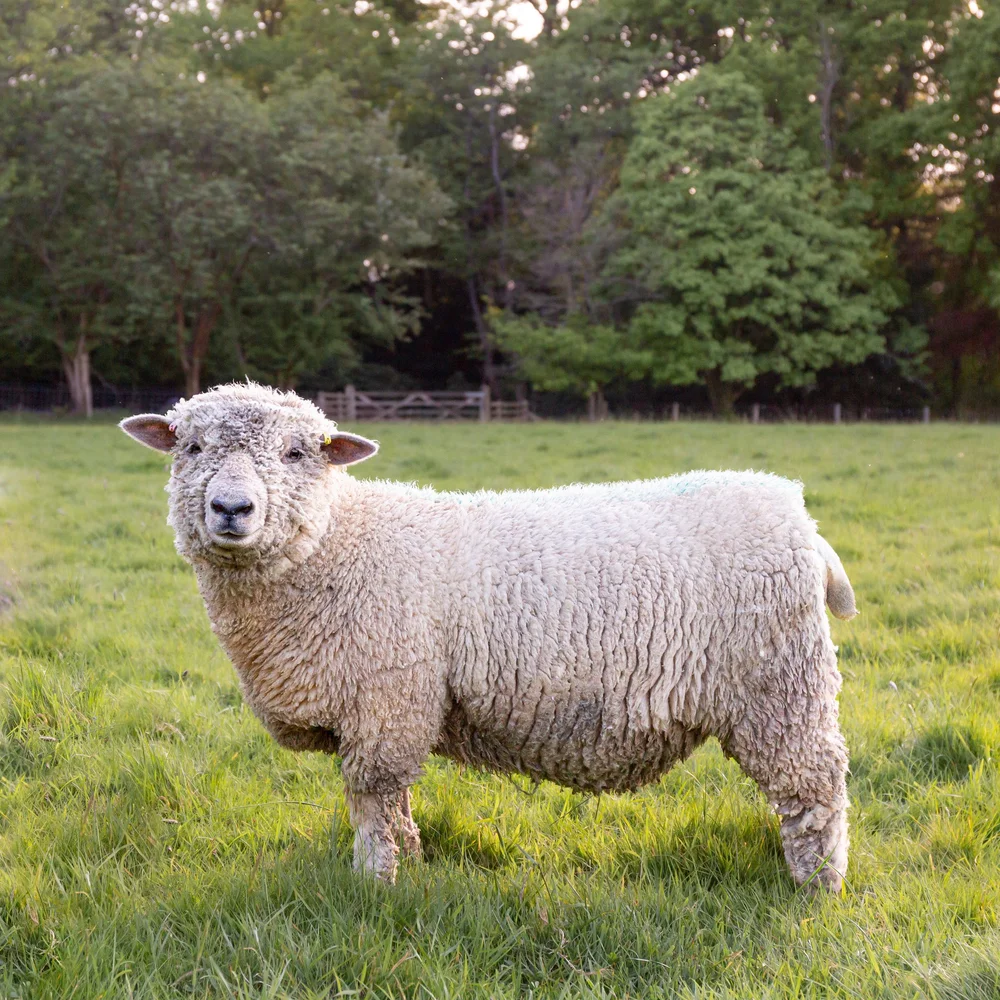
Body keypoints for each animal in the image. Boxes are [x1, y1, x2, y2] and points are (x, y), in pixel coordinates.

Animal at [121, 382, 857, 890]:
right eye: (190, 446)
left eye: (297, 452)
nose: (231, 508)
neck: (335, 543)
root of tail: (796, 510)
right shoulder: (392, 709)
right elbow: (397, 804)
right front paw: (413, 863)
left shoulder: (387, 703)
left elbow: (373, 802)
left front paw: (375, 883)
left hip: (781, 687)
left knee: (816, 790)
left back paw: (818, 886)